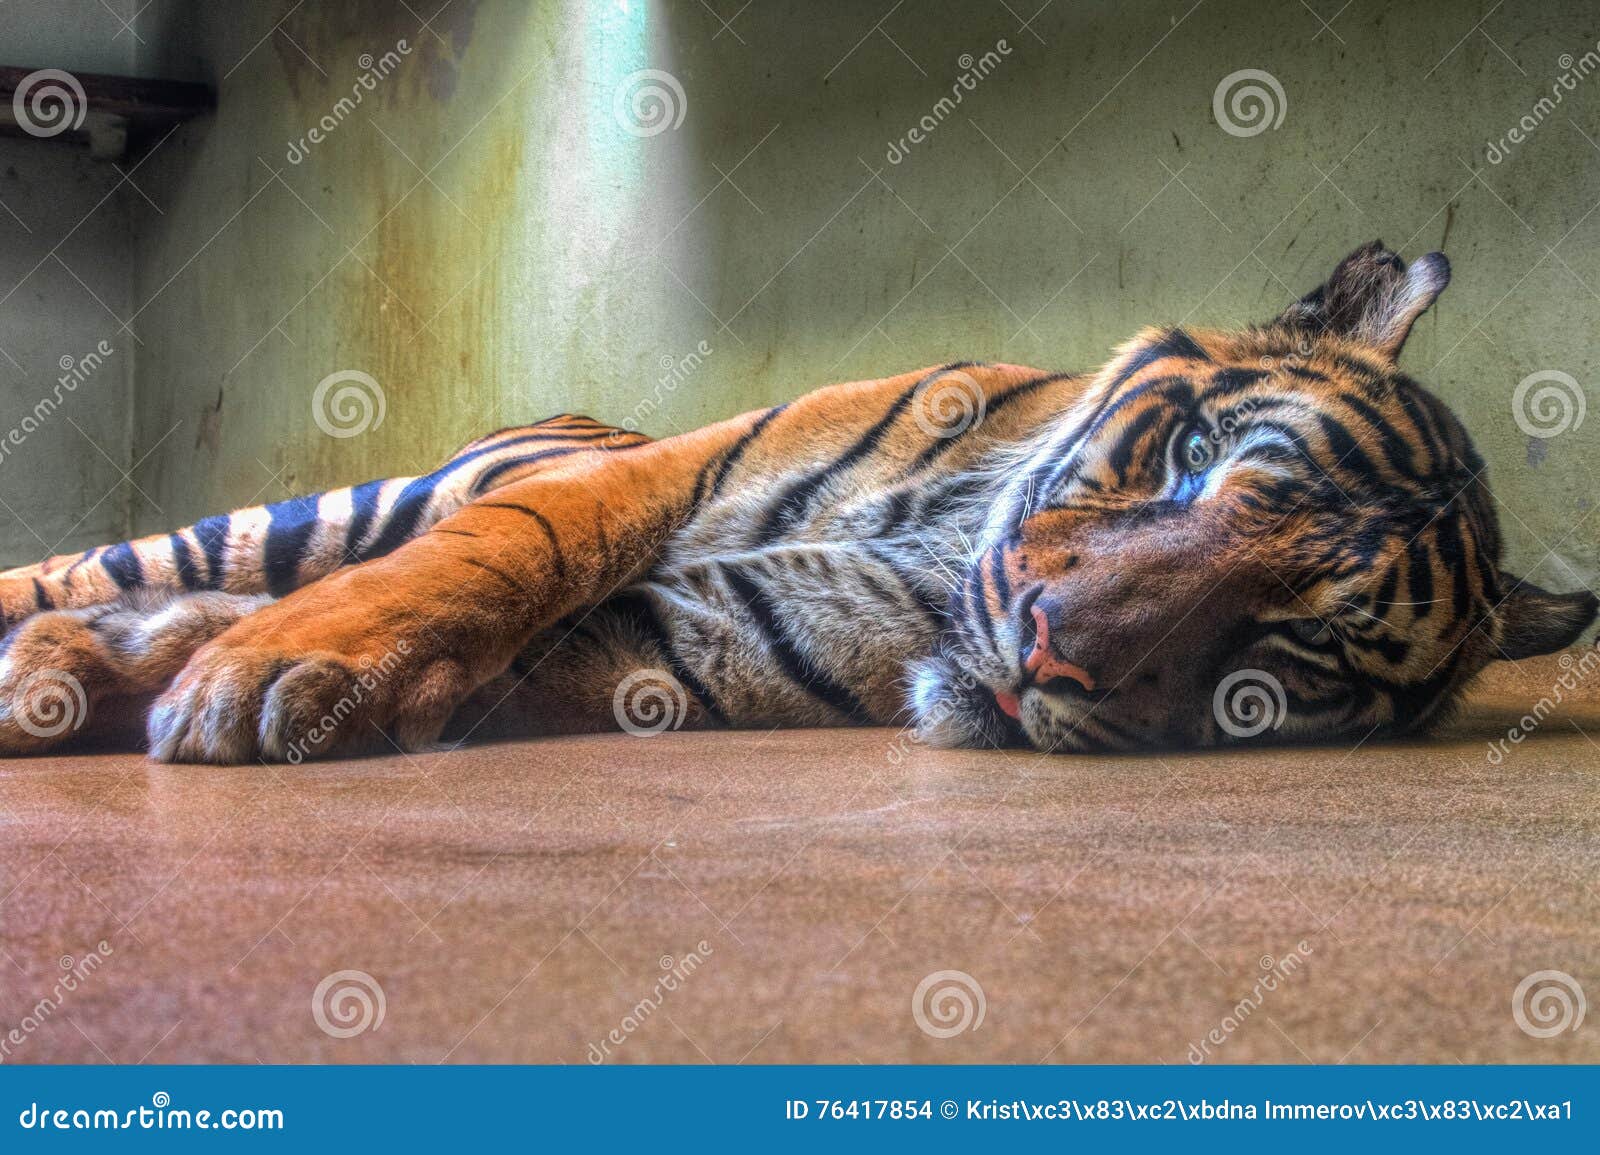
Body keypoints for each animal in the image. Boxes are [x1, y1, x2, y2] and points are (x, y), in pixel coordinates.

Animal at [0, 241, 1592, 764]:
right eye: (1198, 460)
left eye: (1295, 654)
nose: (1055, 652)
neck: (935, 567)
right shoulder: (633, 486)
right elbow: (509, 551)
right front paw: (289, 671)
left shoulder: (669, 647)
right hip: (325, 506)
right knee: (106, 567)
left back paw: (62, 677)